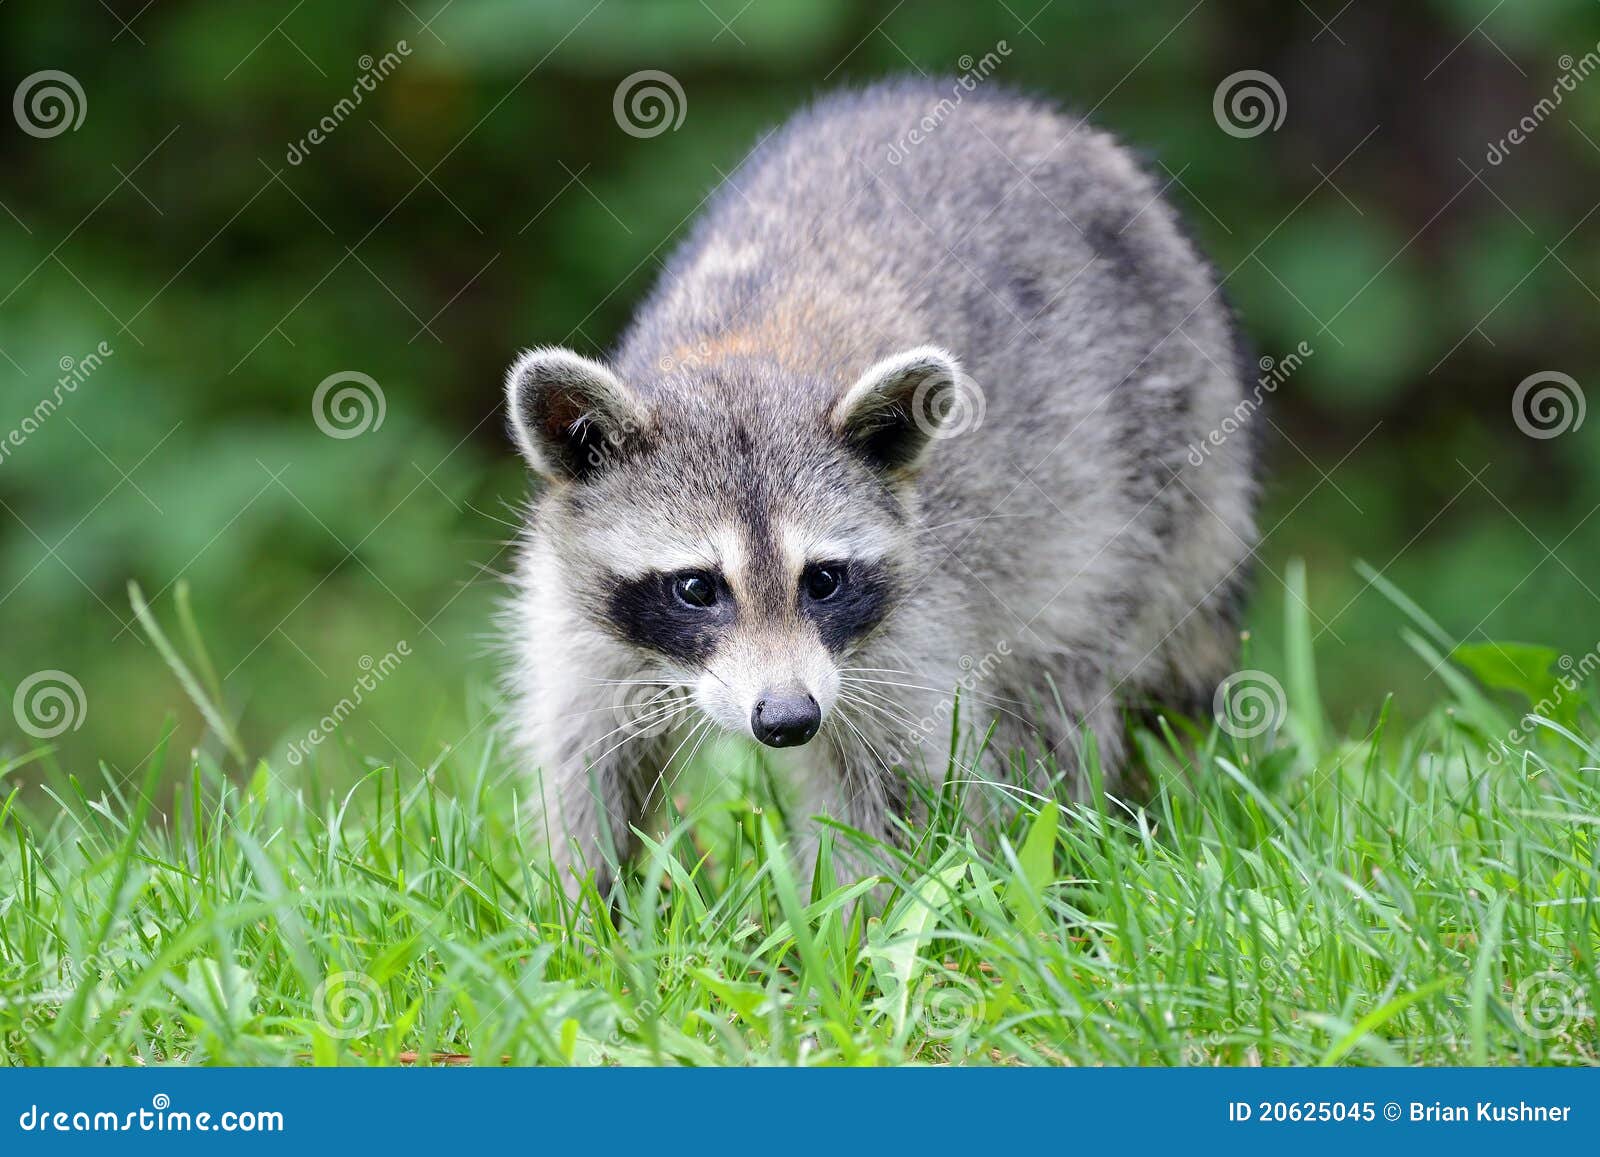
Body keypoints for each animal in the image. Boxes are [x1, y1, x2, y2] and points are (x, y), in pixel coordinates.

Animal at [503, 80, 1255, 892]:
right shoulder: (578, 615)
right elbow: (586, 763)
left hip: (1151, 473)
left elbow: (896, 794)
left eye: (823, 580)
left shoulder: (916, 623)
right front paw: (586, 901)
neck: (743, 360)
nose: (787, 721)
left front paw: (862, 913)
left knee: (1060, 680)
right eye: (698, 587)